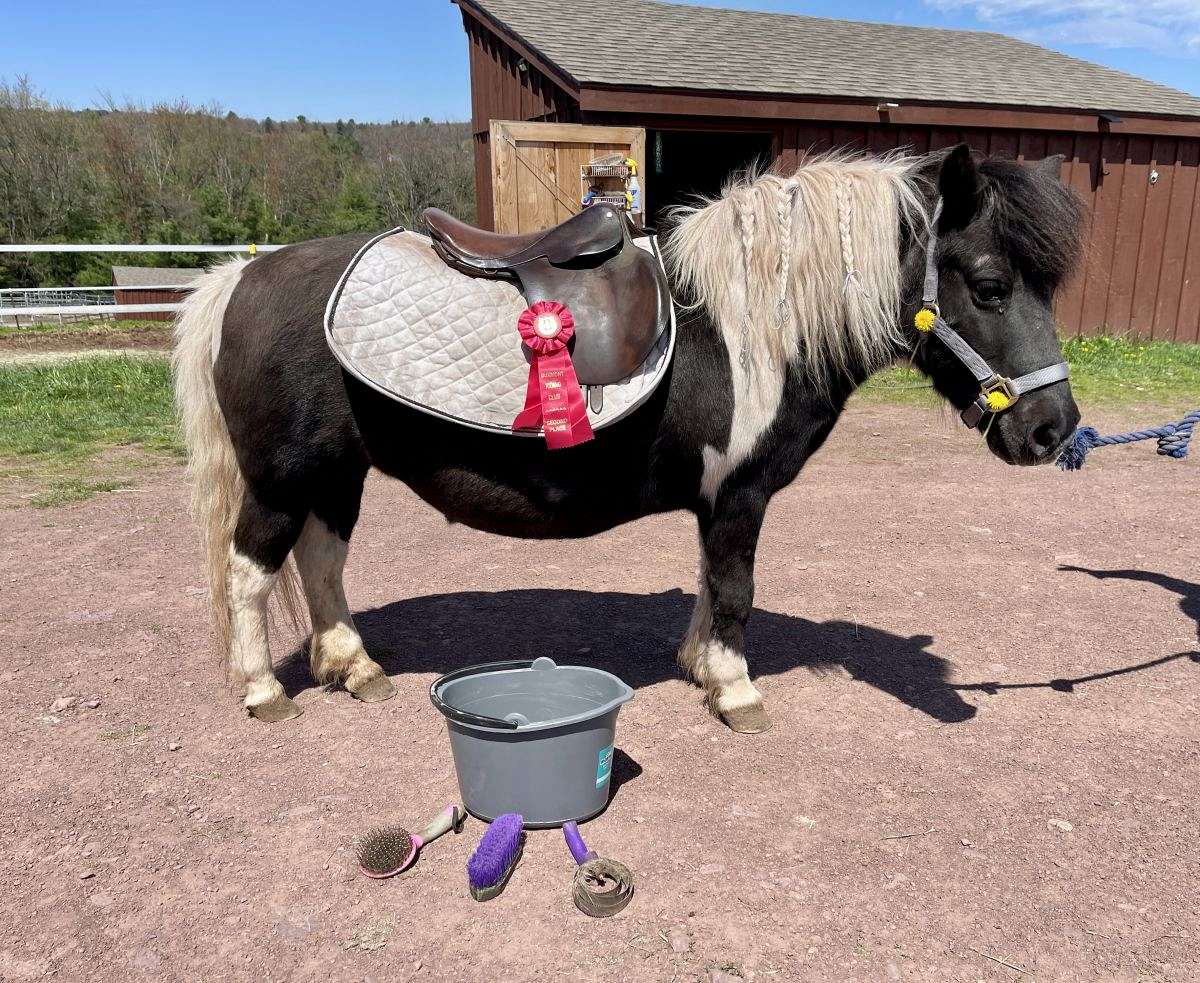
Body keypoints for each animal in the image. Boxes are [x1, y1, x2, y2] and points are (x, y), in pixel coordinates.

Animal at [173, 144, 1084, 733]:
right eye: (992, 285)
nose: (1054, 429)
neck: (747, 327)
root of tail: (241, 276)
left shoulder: (718, 500)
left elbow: (711, 586)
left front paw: (701, 666)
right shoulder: (740, 496)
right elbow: (735, 592)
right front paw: (735, 690)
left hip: (336, 475)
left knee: (322, 562)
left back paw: (354, 667)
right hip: (281, 480)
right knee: (251, 573)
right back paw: (263, 690)